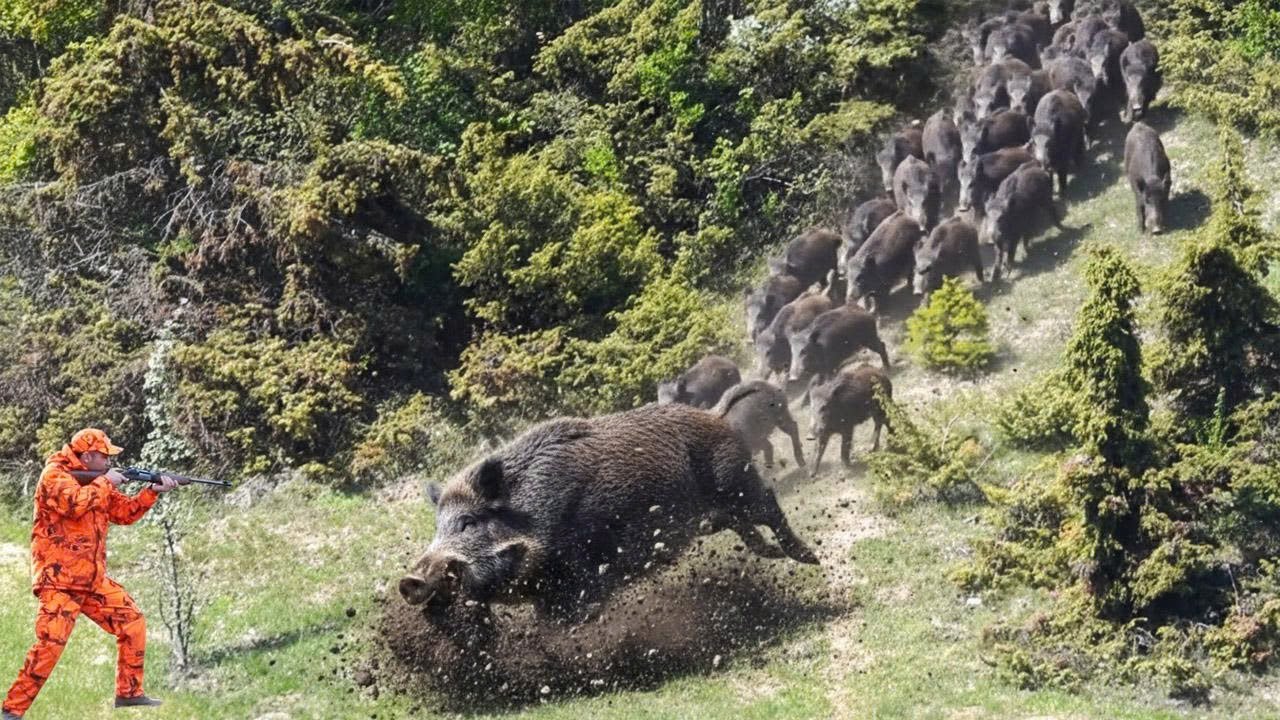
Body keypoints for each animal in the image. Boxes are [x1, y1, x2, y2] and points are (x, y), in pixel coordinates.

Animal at [400, 403, 820, 621]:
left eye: (468, 523)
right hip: (713, 514)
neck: (533, 517)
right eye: (438, 527)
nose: (408, 580)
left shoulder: (583, 567)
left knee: (769, 506)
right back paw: (774, 553)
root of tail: (716, 417)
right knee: (745, 526)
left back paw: (810, 557)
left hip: (736, 481)